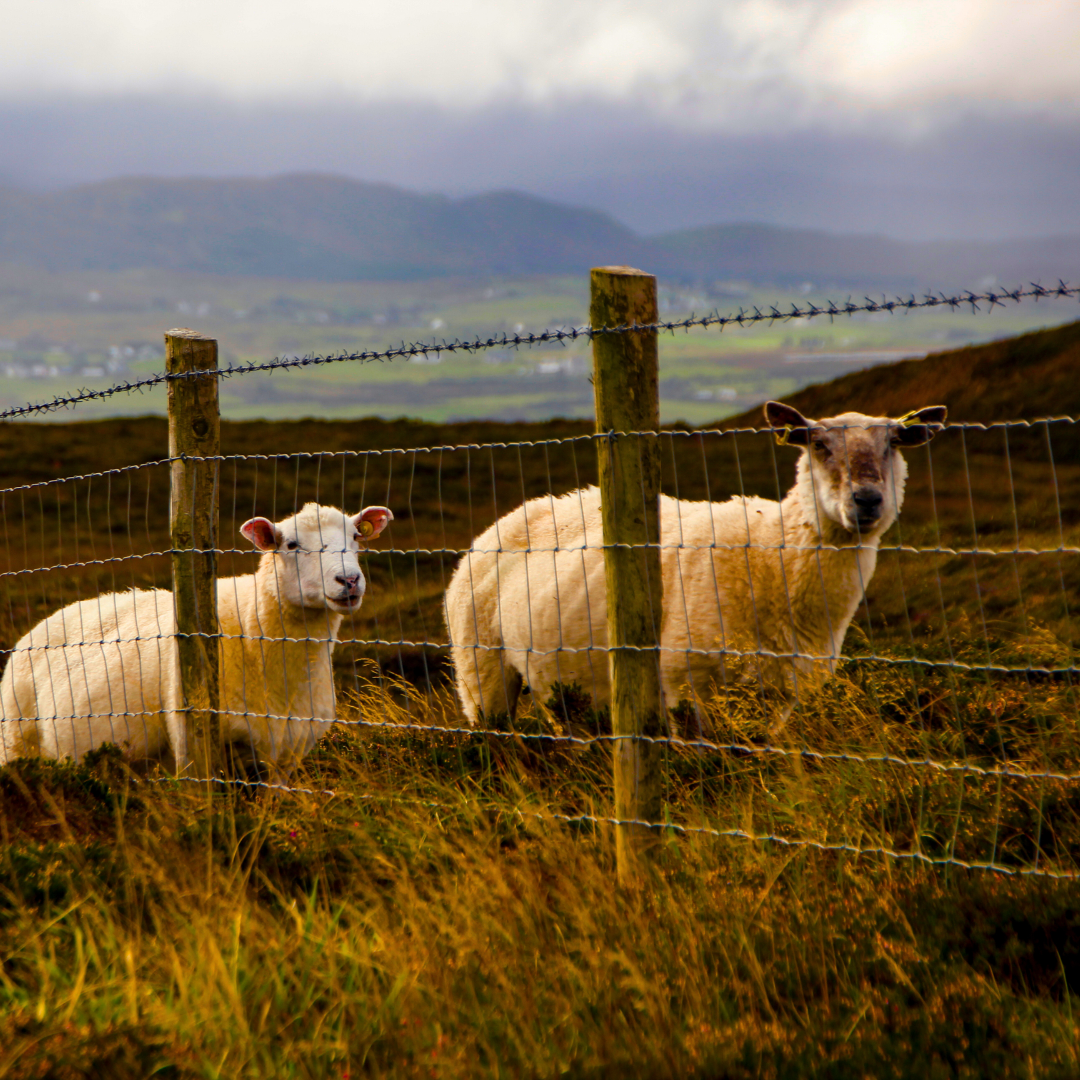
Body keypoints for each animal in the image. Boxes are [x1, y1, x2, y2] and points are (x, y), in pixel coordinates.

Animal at [0, 501, 393, 773]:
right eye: (292, 544)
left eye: (355, 537)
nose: (349, 580)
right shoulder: (194, 745)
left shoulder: (287, 756)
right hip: (17, 743)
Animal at [444, 401, 946, 729]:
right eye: (818, 445)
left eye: (893, 443)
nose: (868, 500)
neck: (772, 554)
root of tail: (502, 523)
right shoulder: (683, 682)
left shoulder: (778, 697)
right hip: (481, 671)